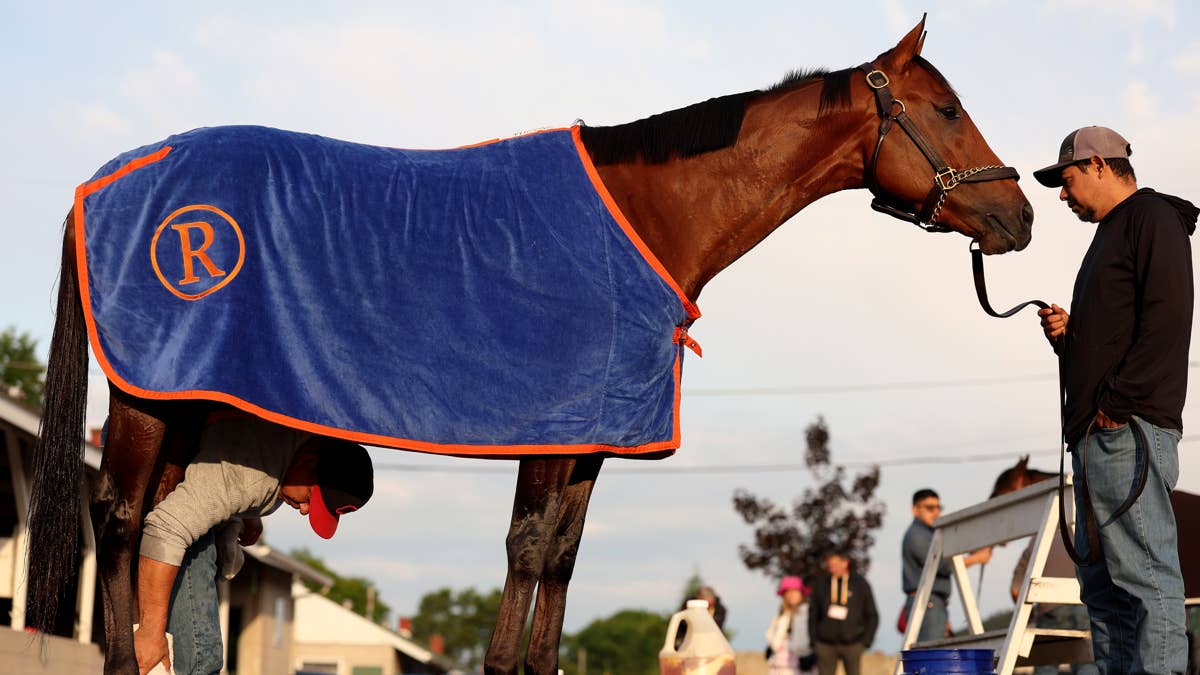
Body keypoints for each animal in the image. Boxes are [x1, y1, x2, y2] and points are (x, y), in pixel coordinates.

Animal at [28, 17, 1033, 675]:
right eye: (945, 108)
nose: (1018, 216)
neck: (642, 218)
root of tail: (101, 183)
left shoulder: (590, 438)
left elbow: (559, 557)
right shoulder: (550, 428)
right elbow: (526, 547)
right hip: (146, 396)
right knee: (119, 517)